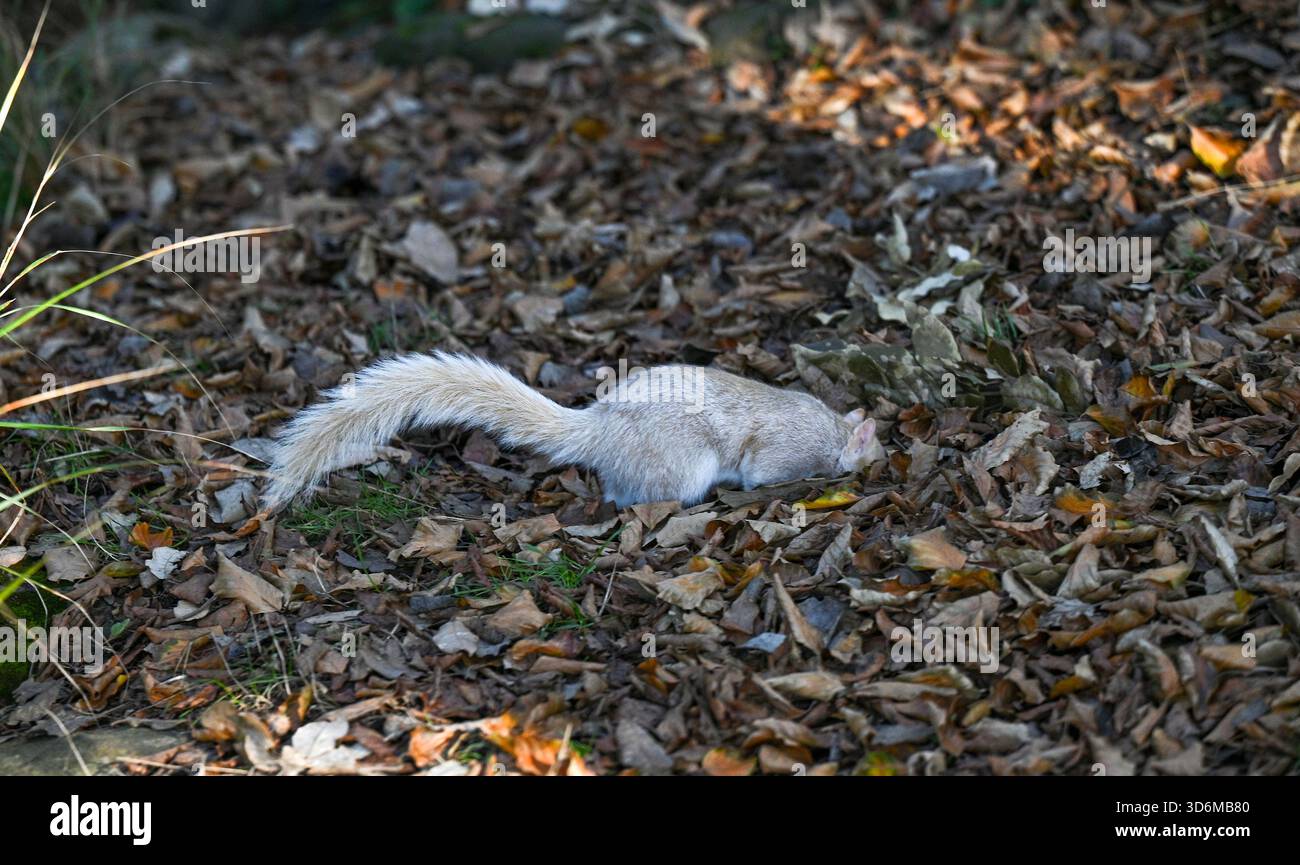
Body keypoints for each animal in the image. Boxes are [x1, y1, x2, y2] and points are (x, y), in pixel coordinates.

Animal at [262, 351, 880, 510]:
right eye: (871, 449)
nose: (881, 462)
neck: (828, 429)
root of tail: (599, 431)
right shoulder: (783, 452)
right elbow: (764, 473)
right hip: (680, 465)